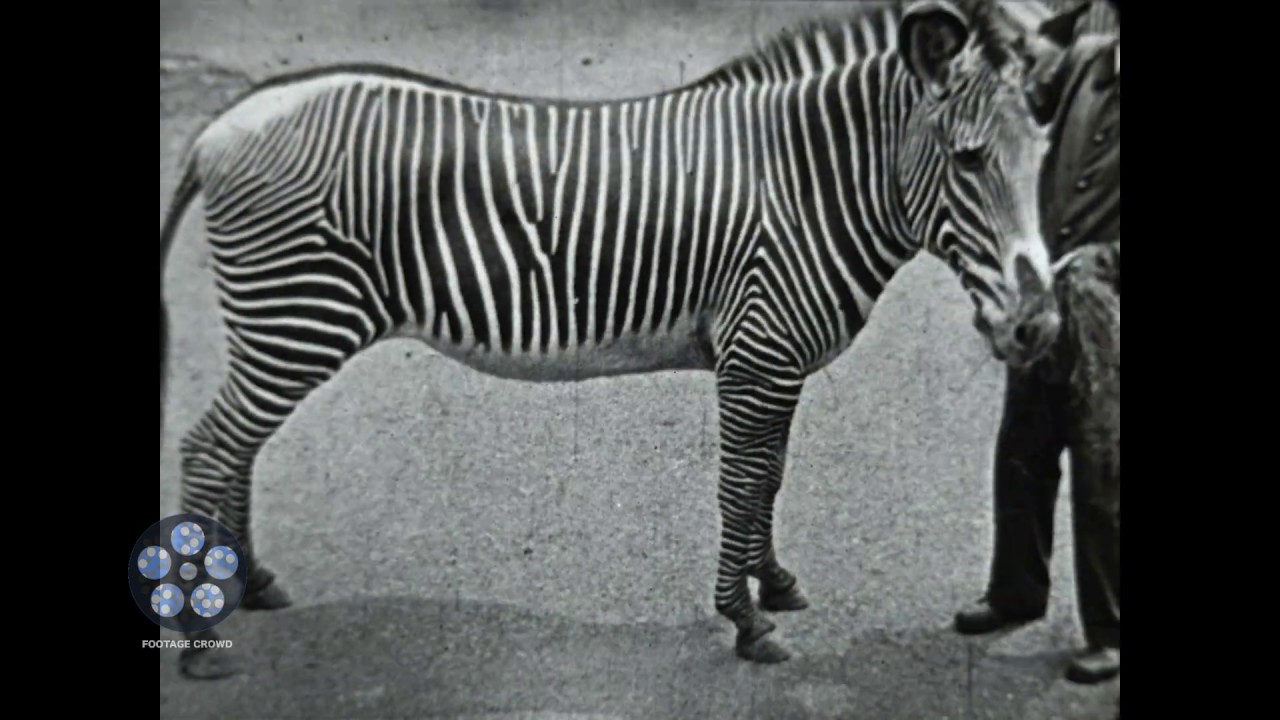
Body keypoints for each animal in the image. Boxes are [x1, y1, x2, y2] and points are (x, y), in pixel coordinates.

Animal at [159, 0, 1060, 677]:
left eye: (1042, 157)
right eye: (970, 160)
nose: (1039, 327)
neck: (809, 185)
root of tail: (221, 125)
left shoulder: (778, 364)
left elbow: (769, 478)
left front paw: (773, 582)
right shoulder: (758, 355)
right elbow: (741, 485)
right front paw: (745, 620)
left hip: (282, 327)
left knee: (234, 448)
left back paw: (249, 581)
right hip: (299, 318)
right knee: (210, 447)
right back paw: (204, 637)